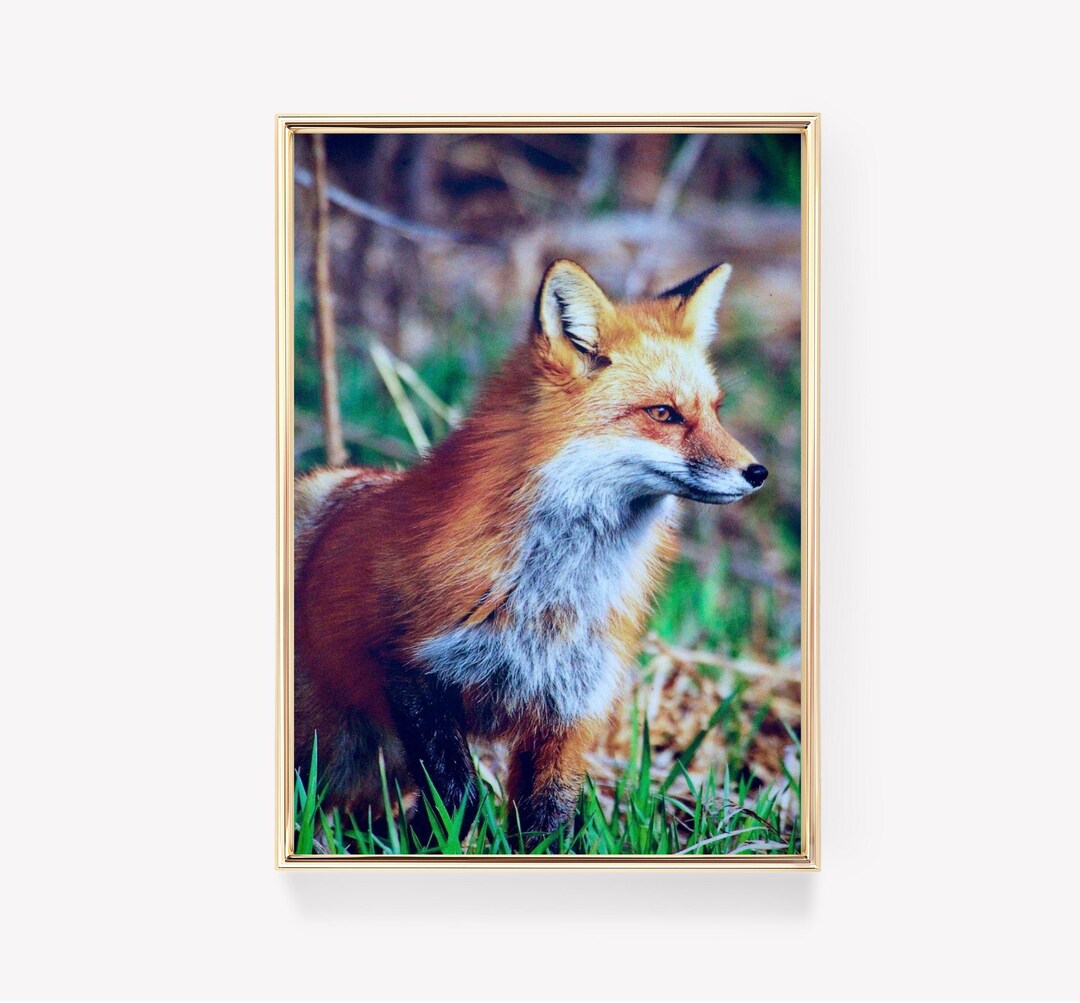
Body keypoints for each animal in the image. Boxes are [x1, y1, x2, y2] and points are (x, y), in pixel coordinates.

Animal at [293, 259, 768, 849]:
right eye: (663, 413)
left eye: (715, 410)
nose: (757, 472)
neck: (552, 597)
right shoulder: (407, 668)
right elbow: (460, 797)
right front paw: (435, 842)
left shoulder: (574, 703)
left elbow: (546, 820)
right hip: (332, 748)